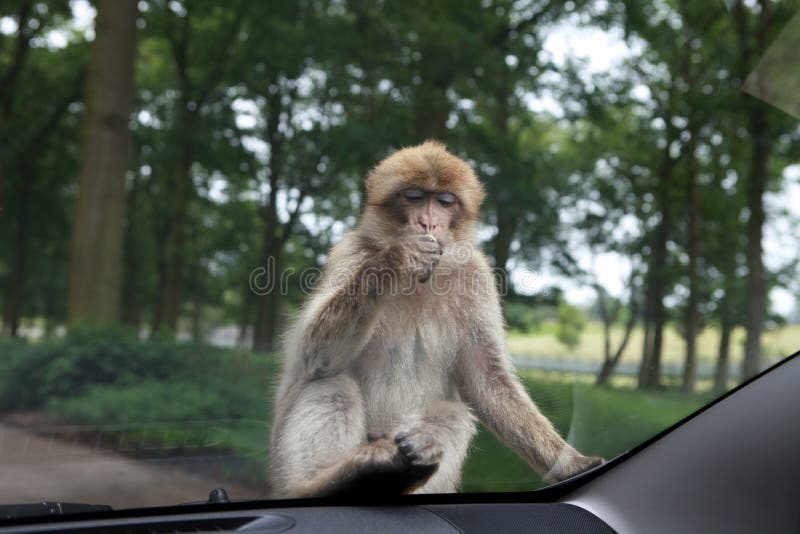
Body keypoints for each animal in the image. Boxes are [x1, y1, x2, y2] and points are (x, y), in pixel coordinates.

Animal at [268, 140, 603, 499]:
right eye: (414, 196)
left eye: (444, 201)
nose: (428, 223)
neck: (422, 281)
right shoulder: (352, 252)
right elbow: (314, 353)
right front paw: (399, 257)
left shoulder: (476, 276)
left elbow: (488, 379)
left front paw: (571, 463)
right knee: (330, 382)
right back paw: (329, 482)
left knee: (452, 413)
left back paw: (403, 465)